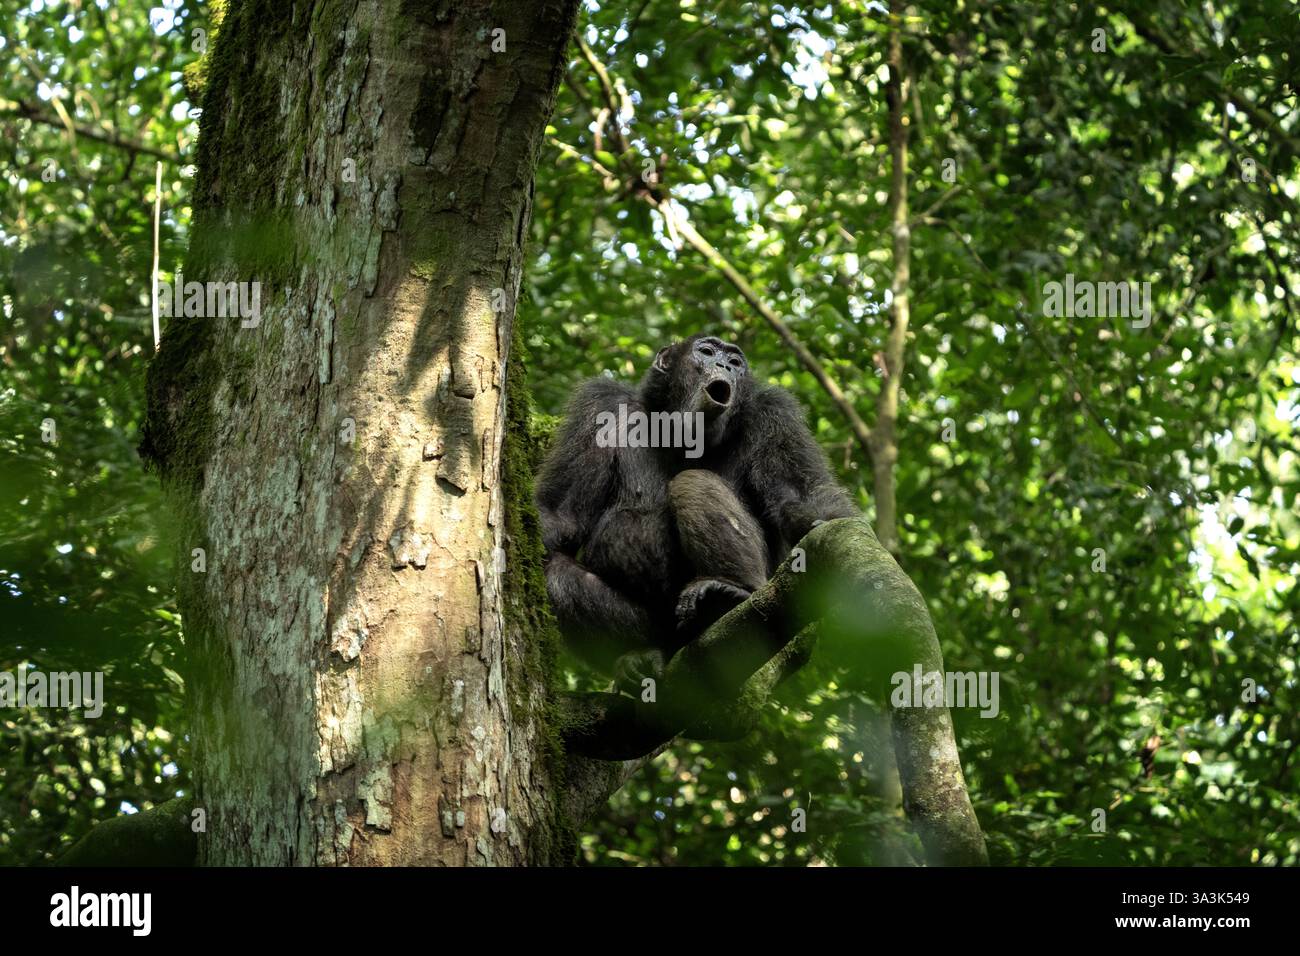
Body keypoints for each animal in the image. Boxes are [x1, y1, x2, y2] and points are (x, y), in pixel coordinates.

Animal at [536, 333, 857, 691]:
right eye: (706, 351)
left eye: (735, 362)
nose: (724, 366)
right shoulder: (598, 405)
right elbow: (563, 511)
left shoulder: (775, 413)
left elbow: (800, 496)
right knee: (558, 576)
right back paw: (639, 656)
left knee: (693, 482)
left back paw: (729, 595)